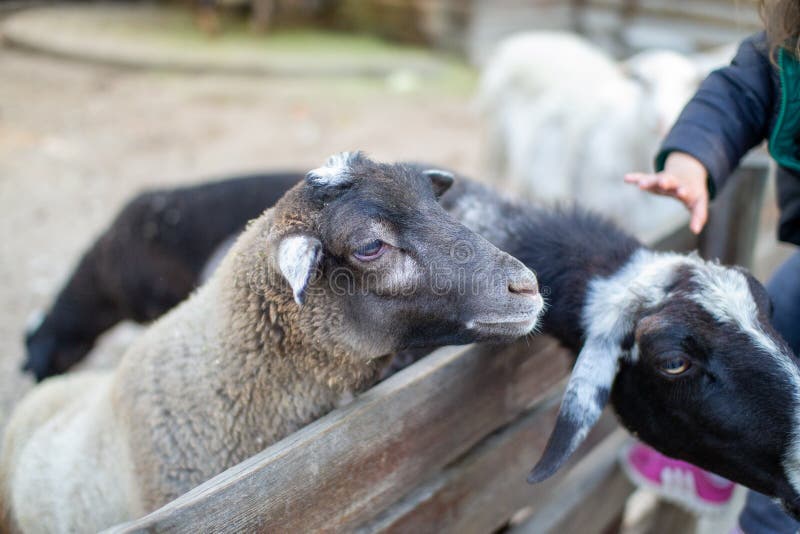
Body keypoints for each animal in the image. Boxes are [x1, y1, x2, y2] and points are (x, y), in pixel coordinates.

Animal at [477, 31, 728, 236]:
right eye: (643, 82)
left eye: (689, 85)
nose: (661, 119)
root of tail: (525, 38)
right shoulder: (600, 202)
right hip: (496, 140)